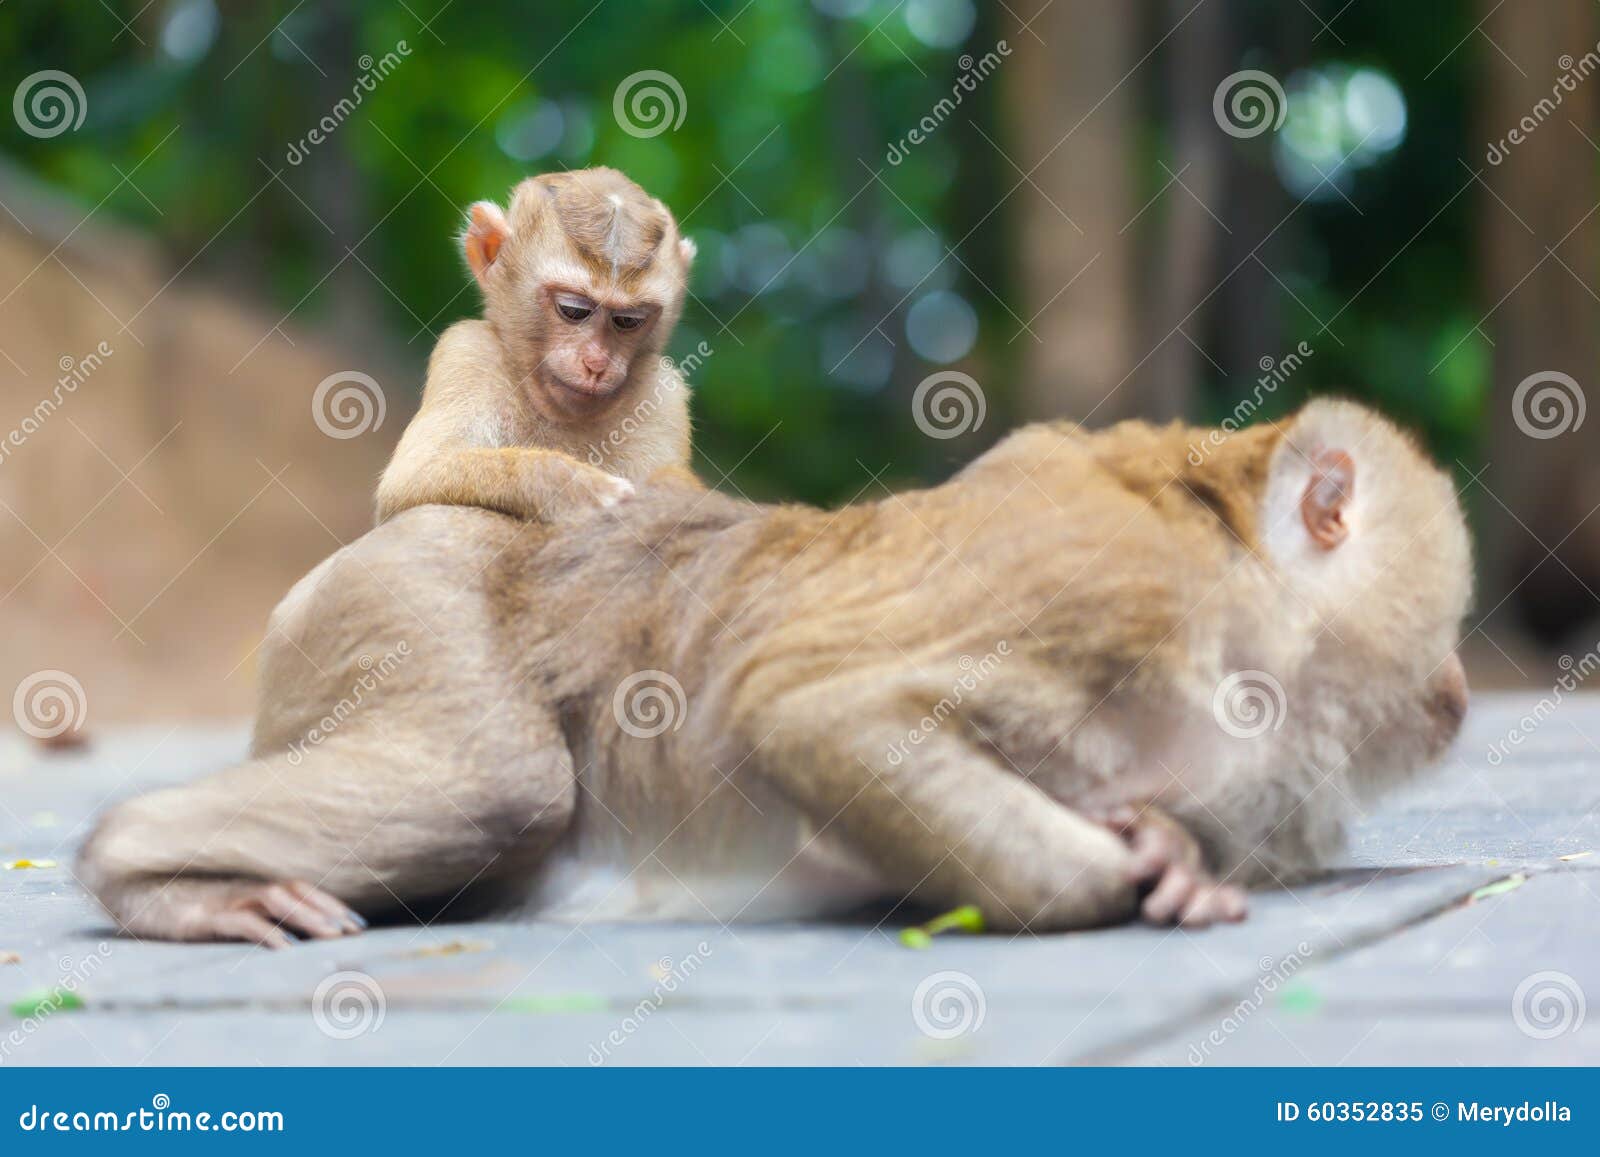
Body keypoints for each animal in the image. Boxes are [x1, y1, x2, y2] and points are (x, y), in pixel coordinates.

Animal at [78, 398, 1472, 944]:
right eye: (1445, 624)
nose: (1461, 695)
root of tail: (439, 515)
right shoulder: (1112, 582)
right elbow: (808, 705)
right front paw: (1119, 876)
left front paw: (1174, 854)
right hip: (409, 611)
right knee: (499, 781)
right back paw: (154, 873)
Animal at [374, 167, 698, 526]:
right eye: (573, 310)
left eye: (628, 320)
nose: (596, 363)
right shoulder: (467, 352)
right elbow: (412, 479)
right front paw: (577, 487)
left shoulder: (664, 393)